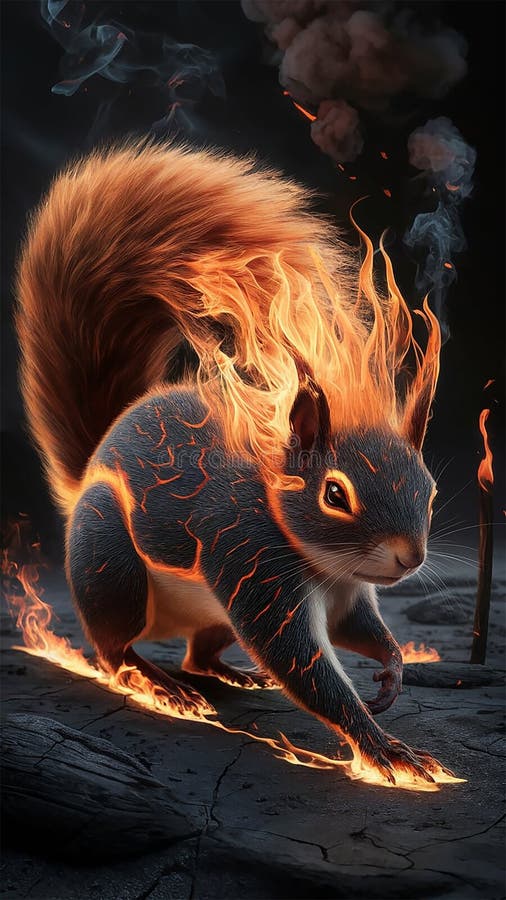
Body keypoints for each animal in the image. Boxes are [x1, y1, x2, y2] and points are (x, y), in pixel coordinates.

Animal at [15, 139, 448, 785]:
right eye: (335, 494)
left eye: (430, 489)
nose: (409, 558)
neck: (322, 563)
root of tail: (88, 469)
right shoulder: (252, 559)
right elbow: (304, 666)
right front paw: (383, 748)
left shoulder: (347, 595)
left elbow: (362, 632)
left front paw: (394, 672)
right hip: (110, 564)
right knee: (113, 650)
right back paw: (161, 684)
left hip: (210, 614)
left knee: (200, 651)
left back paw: (230, 673)